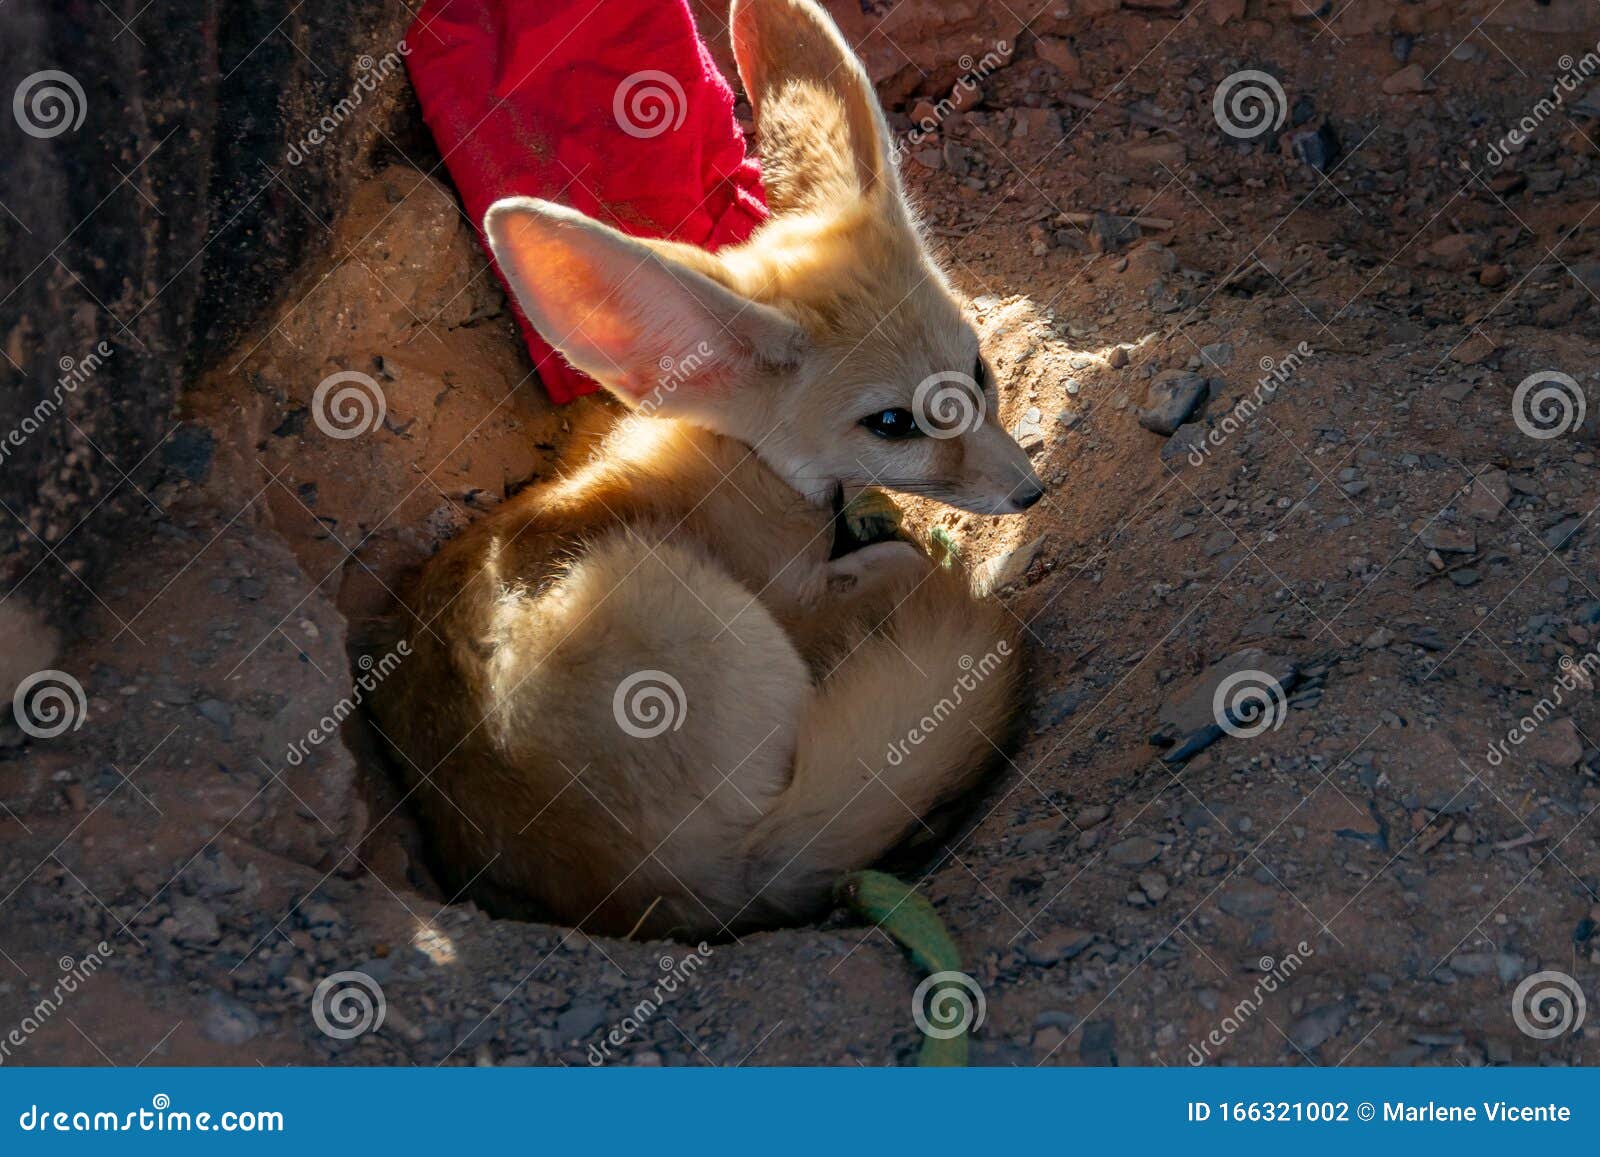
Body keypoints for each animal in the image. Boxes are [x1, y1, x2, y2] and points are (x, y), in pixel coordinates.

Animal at [370, 0, 1044, 939]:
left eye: (977, 371)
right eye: (893, 424)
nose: (1029, 489)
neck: (741, 459)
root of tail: (684, 881)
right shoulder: (796, 596)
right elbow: (893, 562)